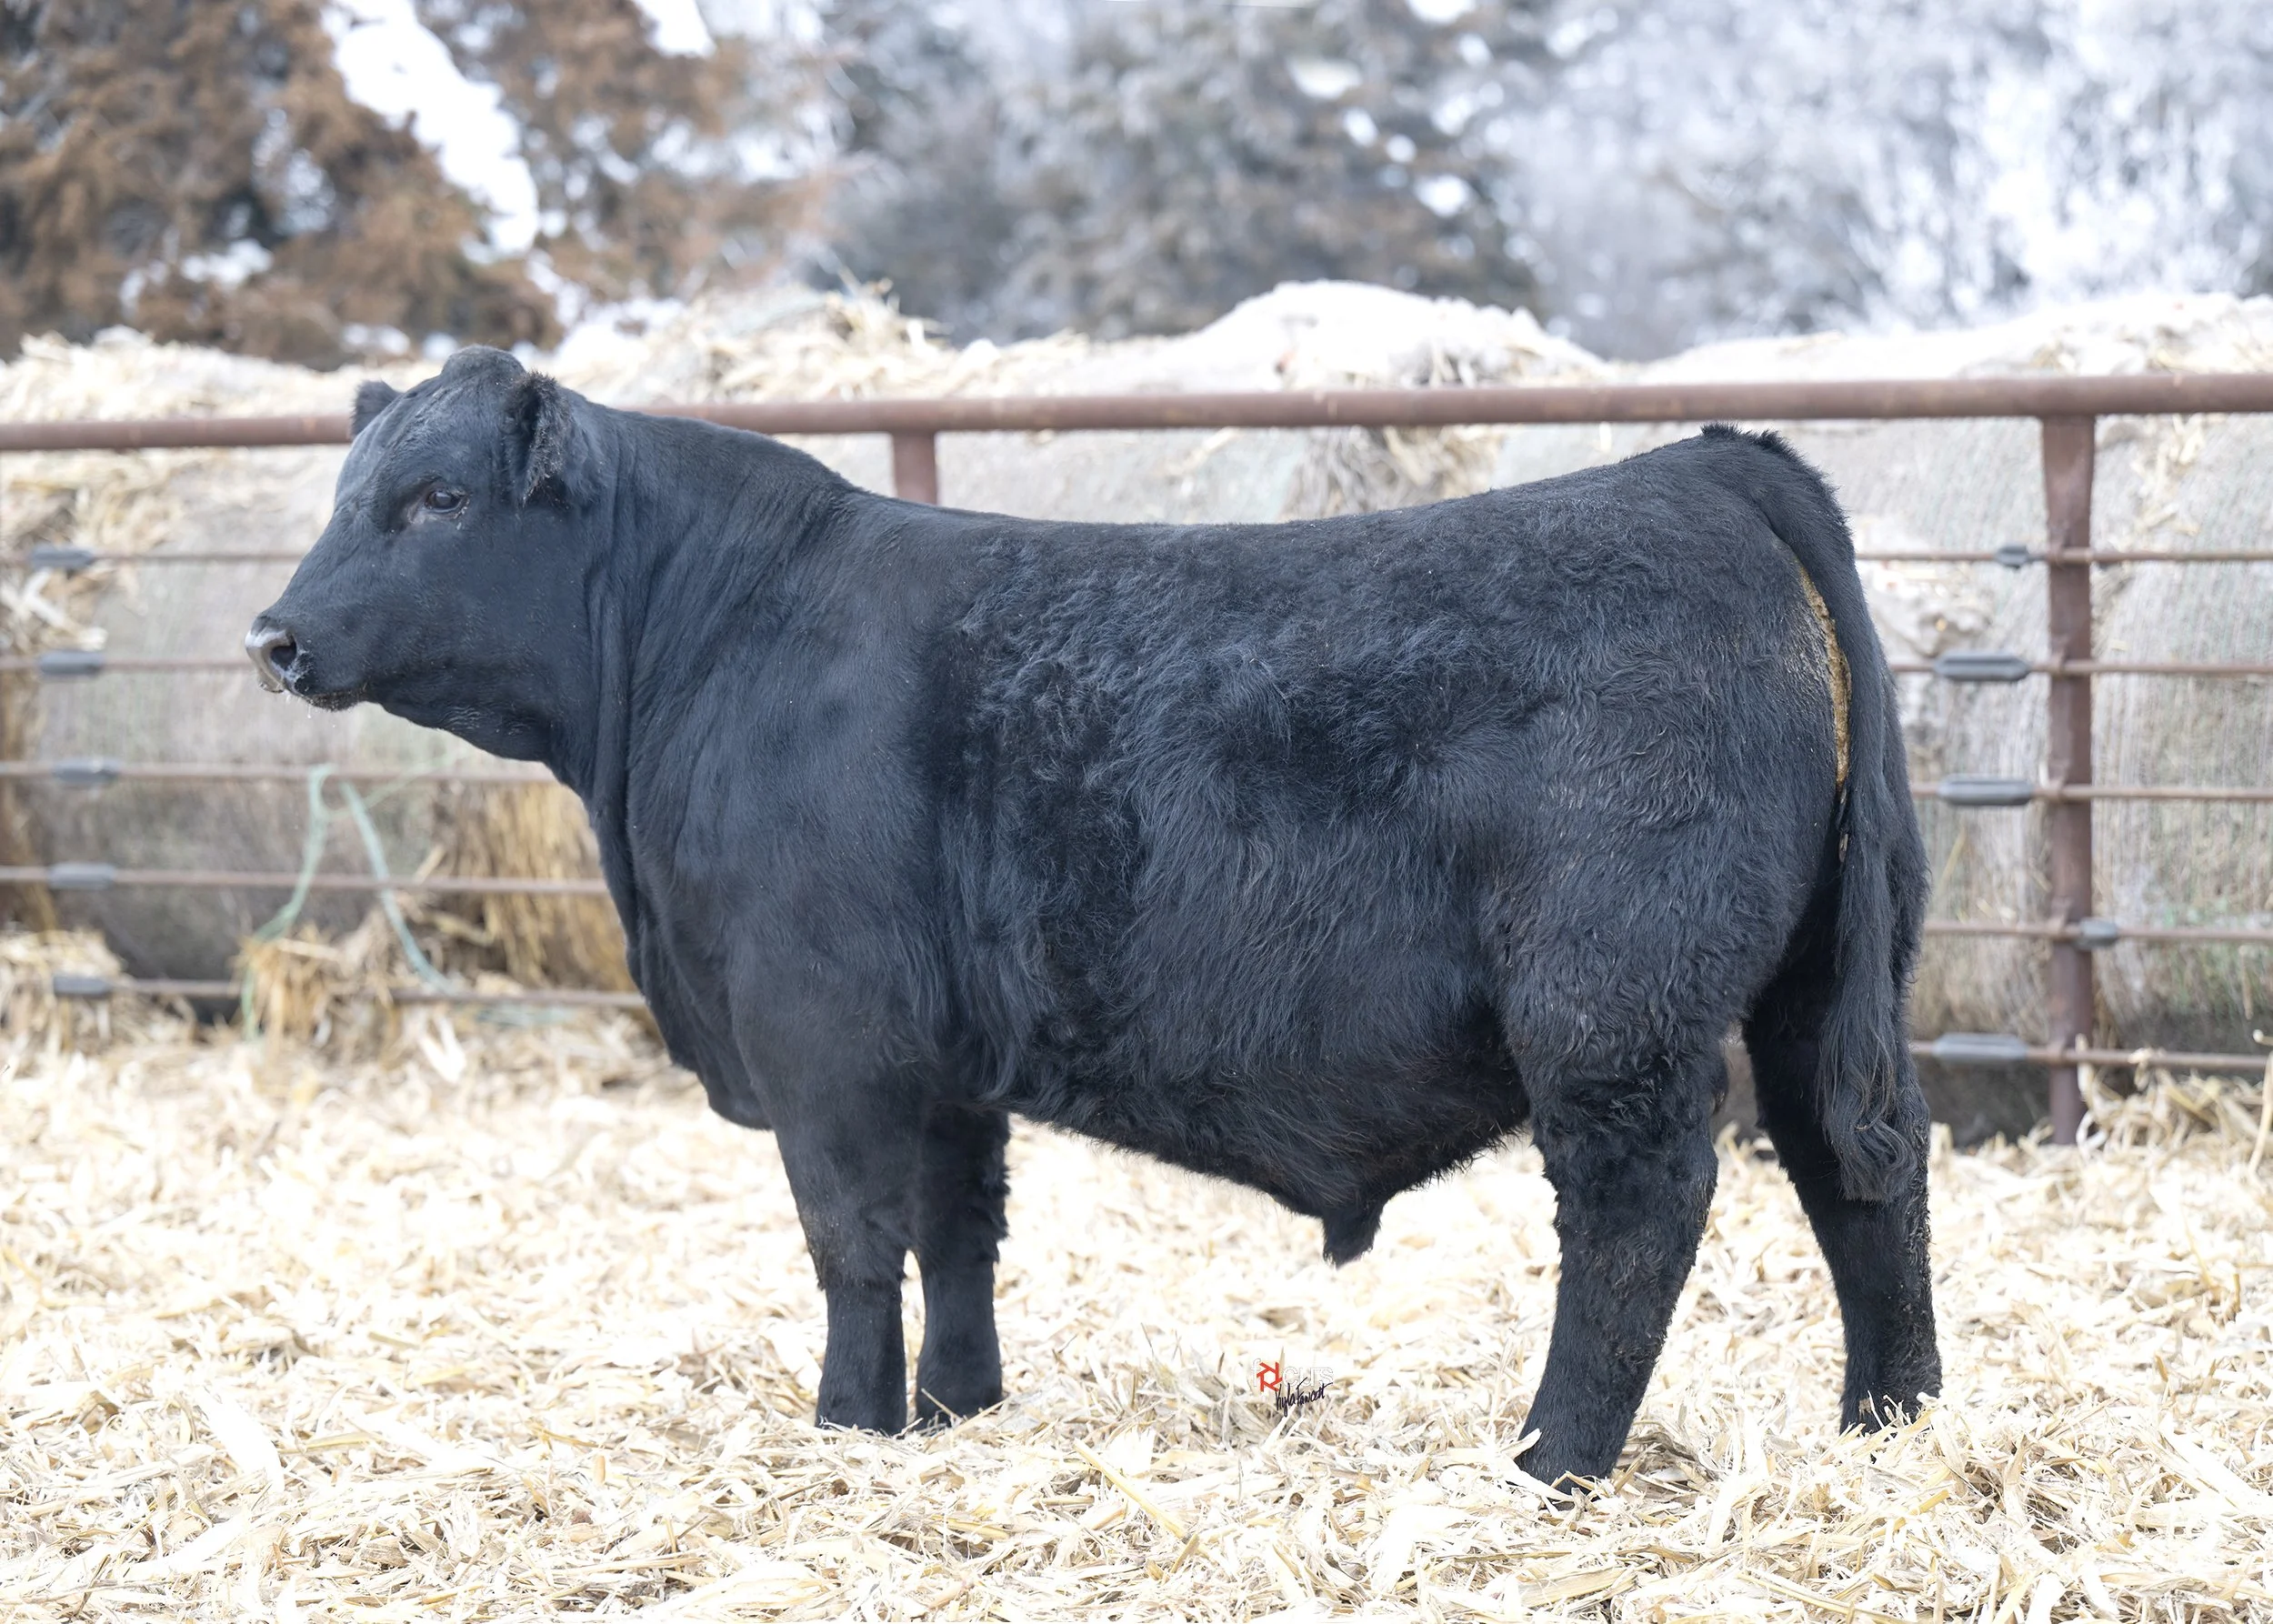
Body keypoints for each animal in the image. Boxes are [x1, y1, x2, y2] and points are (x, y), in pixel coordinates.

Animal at [247, 347, 1941, 1488]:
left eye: (436, 497)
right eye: (343, 491)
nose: (271, 635)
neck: (704, 642)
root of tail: (1705, 465)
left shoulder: (823, 1038)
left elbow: (851, 1239)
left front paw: (848, 1425)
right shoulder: (941, 1058)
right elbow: (958, 1230)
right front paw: (958, 1408)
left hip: (1613, 1015)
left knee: (1638, 1216)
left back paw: (1552, 1457)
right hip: (1819, 981)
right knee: (1865, 1170)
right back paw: (1892, 1416)